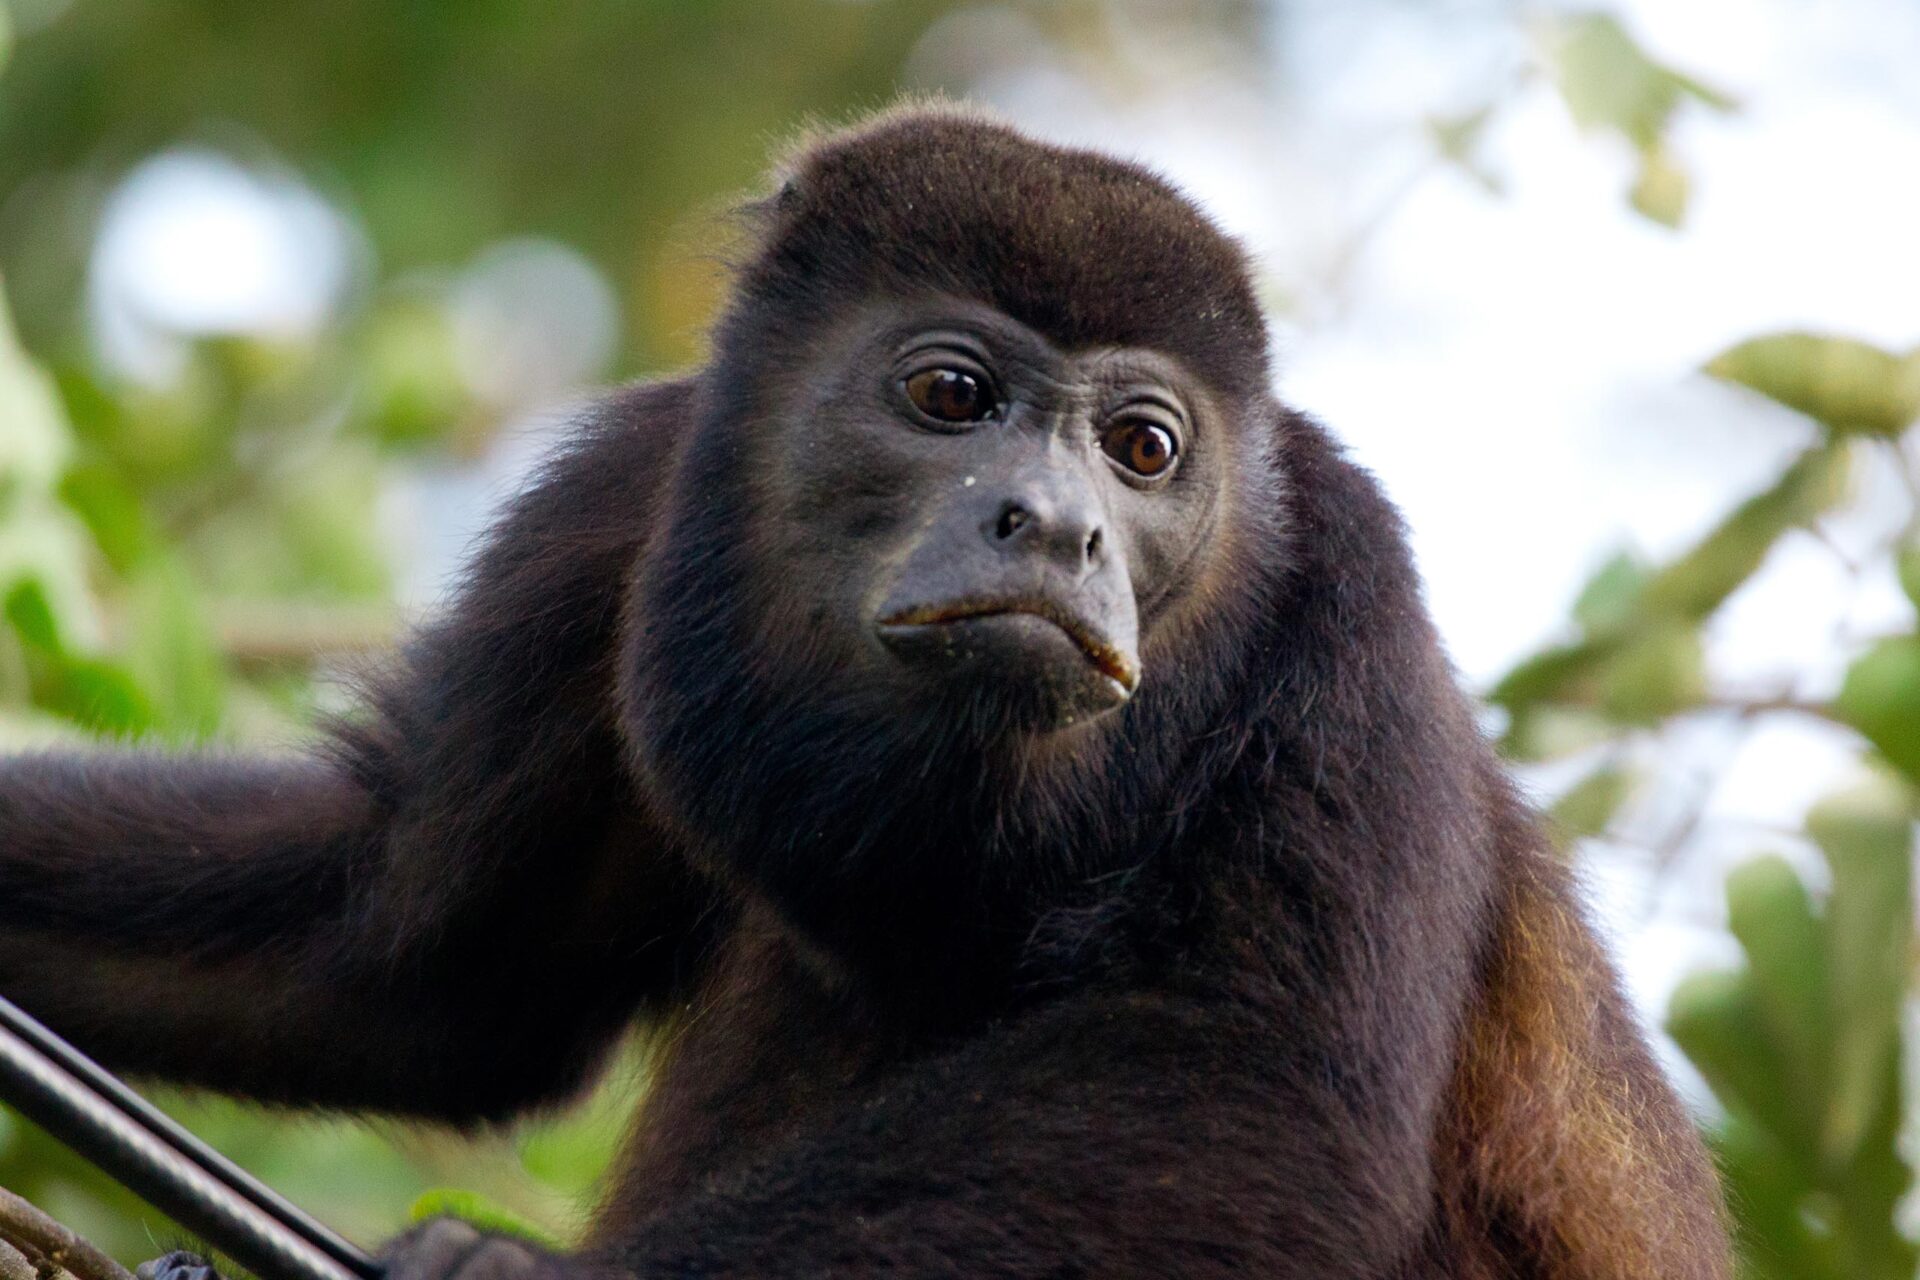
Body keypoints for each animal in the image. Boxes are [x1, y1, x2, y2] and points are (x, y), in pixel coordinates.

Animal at [0, 106, 1730, 1279]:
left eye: (1143, 448)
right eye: (950, 395)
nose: (1062, 527)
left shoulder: (1347, 601)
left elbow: (1241, 1102)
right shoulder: (623, 500)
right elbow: (406, 959)